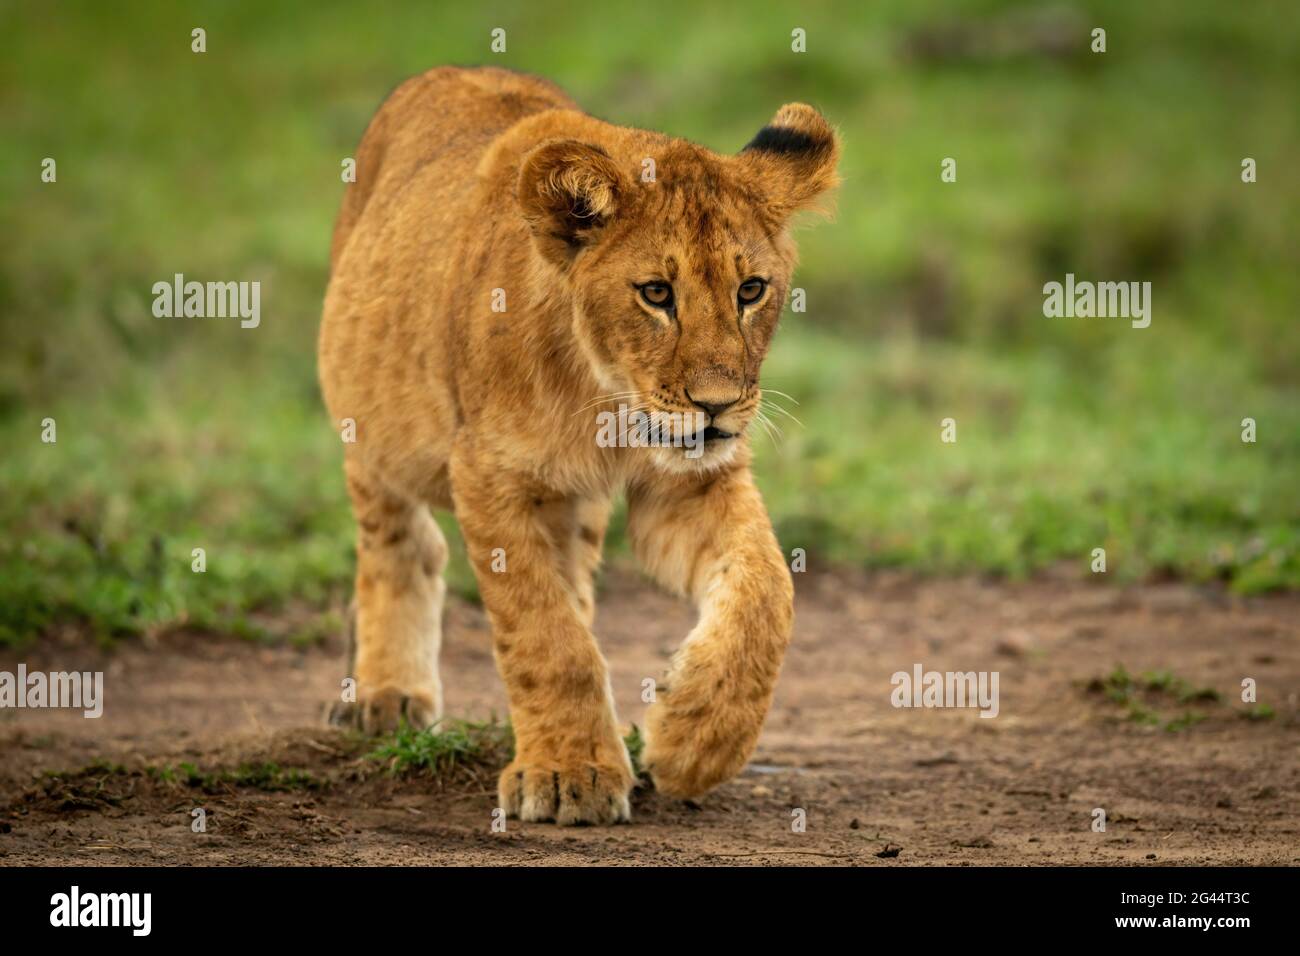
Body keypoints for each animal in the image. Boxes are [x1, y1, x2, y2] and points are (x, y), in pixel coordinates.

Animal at [318, 66, 839, 824]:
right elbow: (545, 634)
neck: (604, 399)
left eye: (750, 289)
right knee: (399, 543)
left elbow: (767, 592)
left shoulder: (688, 483)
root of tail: (446, 71)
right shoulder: (489, 476)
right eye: (656, 293)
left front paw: (693, 739)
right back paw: (389, 696)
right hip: (371, 421)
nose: (715, 407)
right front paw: (570, 774)